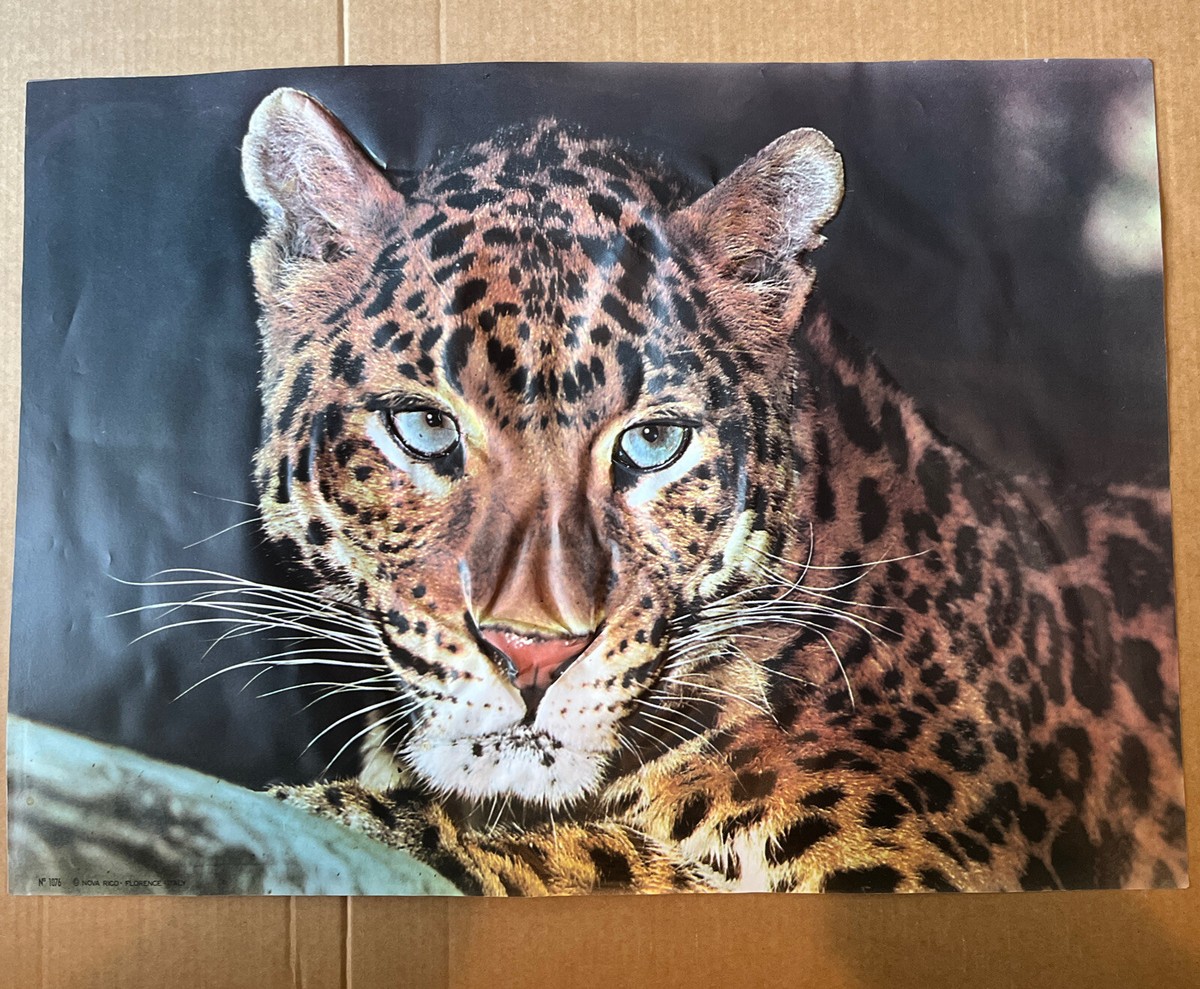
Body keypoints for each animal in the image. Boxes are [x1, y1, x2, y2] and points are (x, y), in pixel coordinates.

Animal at [236, 87, 1186, 894]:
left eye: (653, 443)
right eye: (425, 428)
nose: (531, 655)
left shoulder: (929, 875)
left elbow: (622, 863)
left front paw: (365, 811)